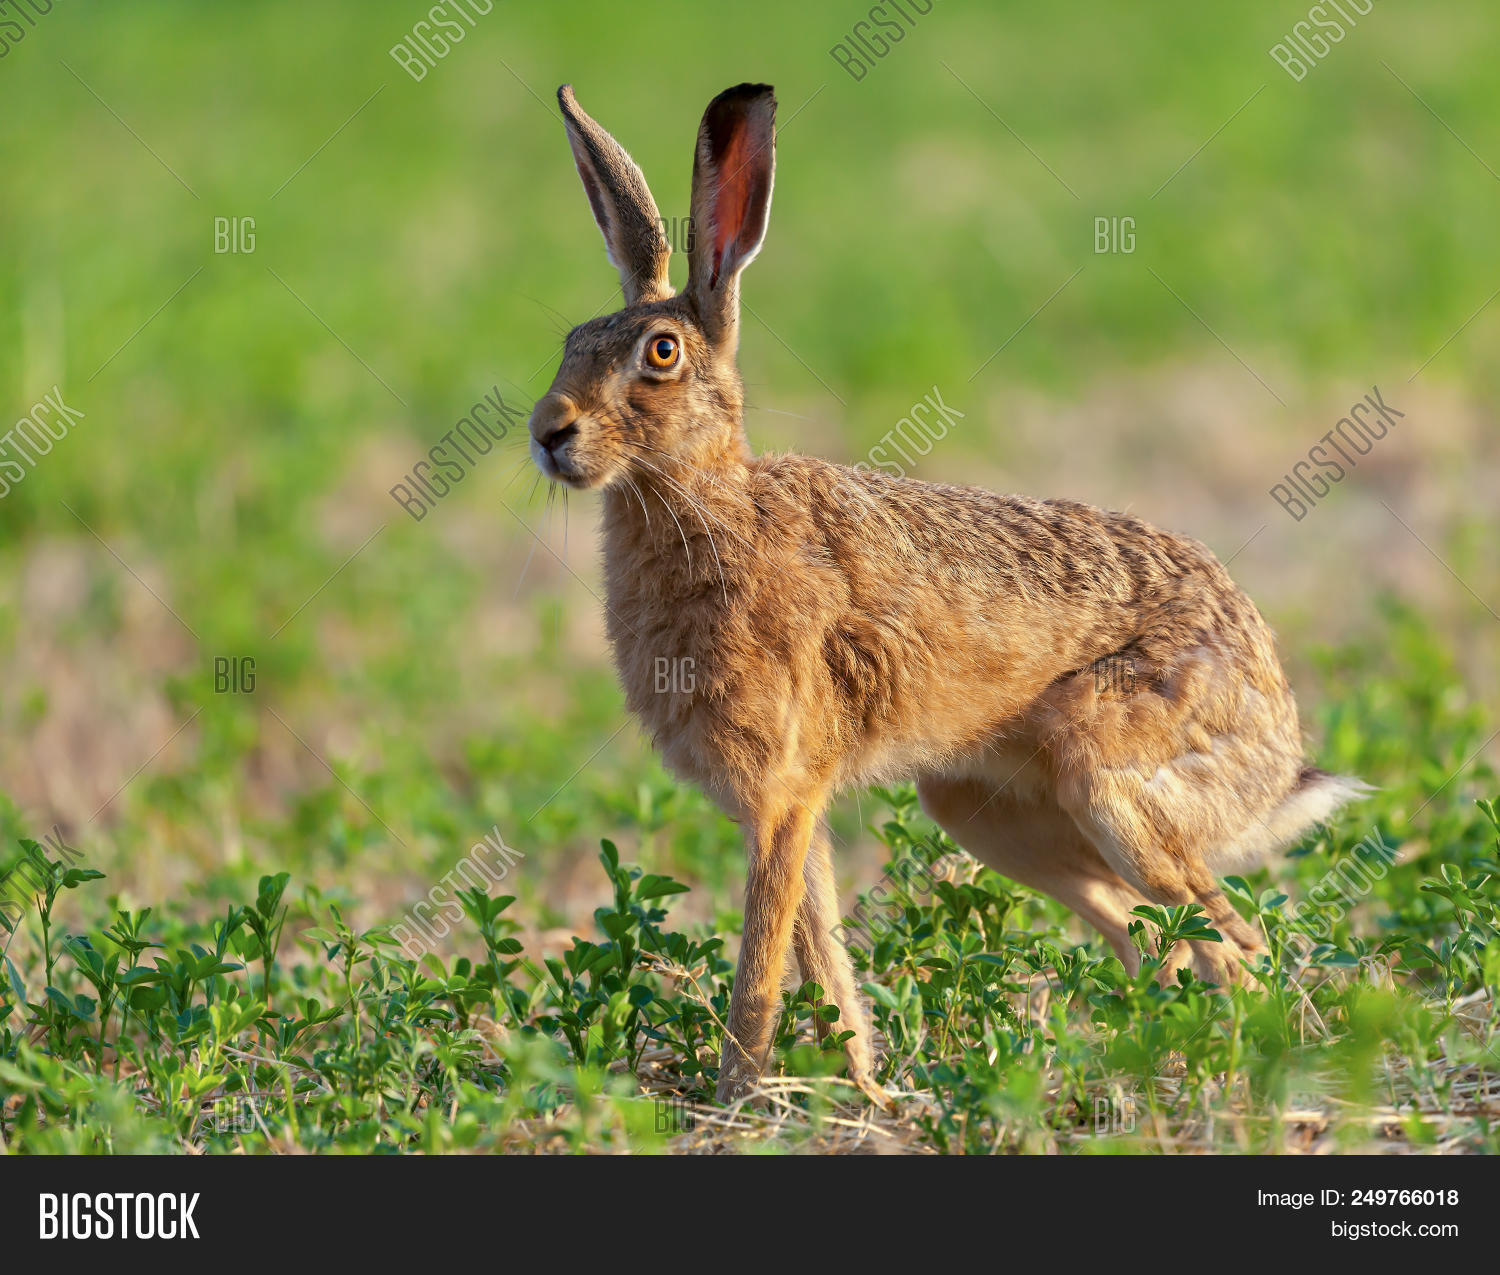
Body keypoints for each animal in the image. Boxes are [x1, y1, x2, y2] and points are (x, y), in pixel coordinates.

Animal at [529, 82, 1366, 1107]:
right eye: (571, 343)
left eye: (659, 353)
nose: (548, 431)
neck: (708, 500)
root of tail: (1277, 731)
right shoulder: (794, 807)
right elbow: (824, 959)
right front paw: (865, 1094)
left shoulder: (781, 792)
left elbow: (762, 967)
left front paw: (742, 1098)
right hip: (993, 813)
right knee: (1154, 940)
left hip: (1113, 780)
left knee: (1234, 942)